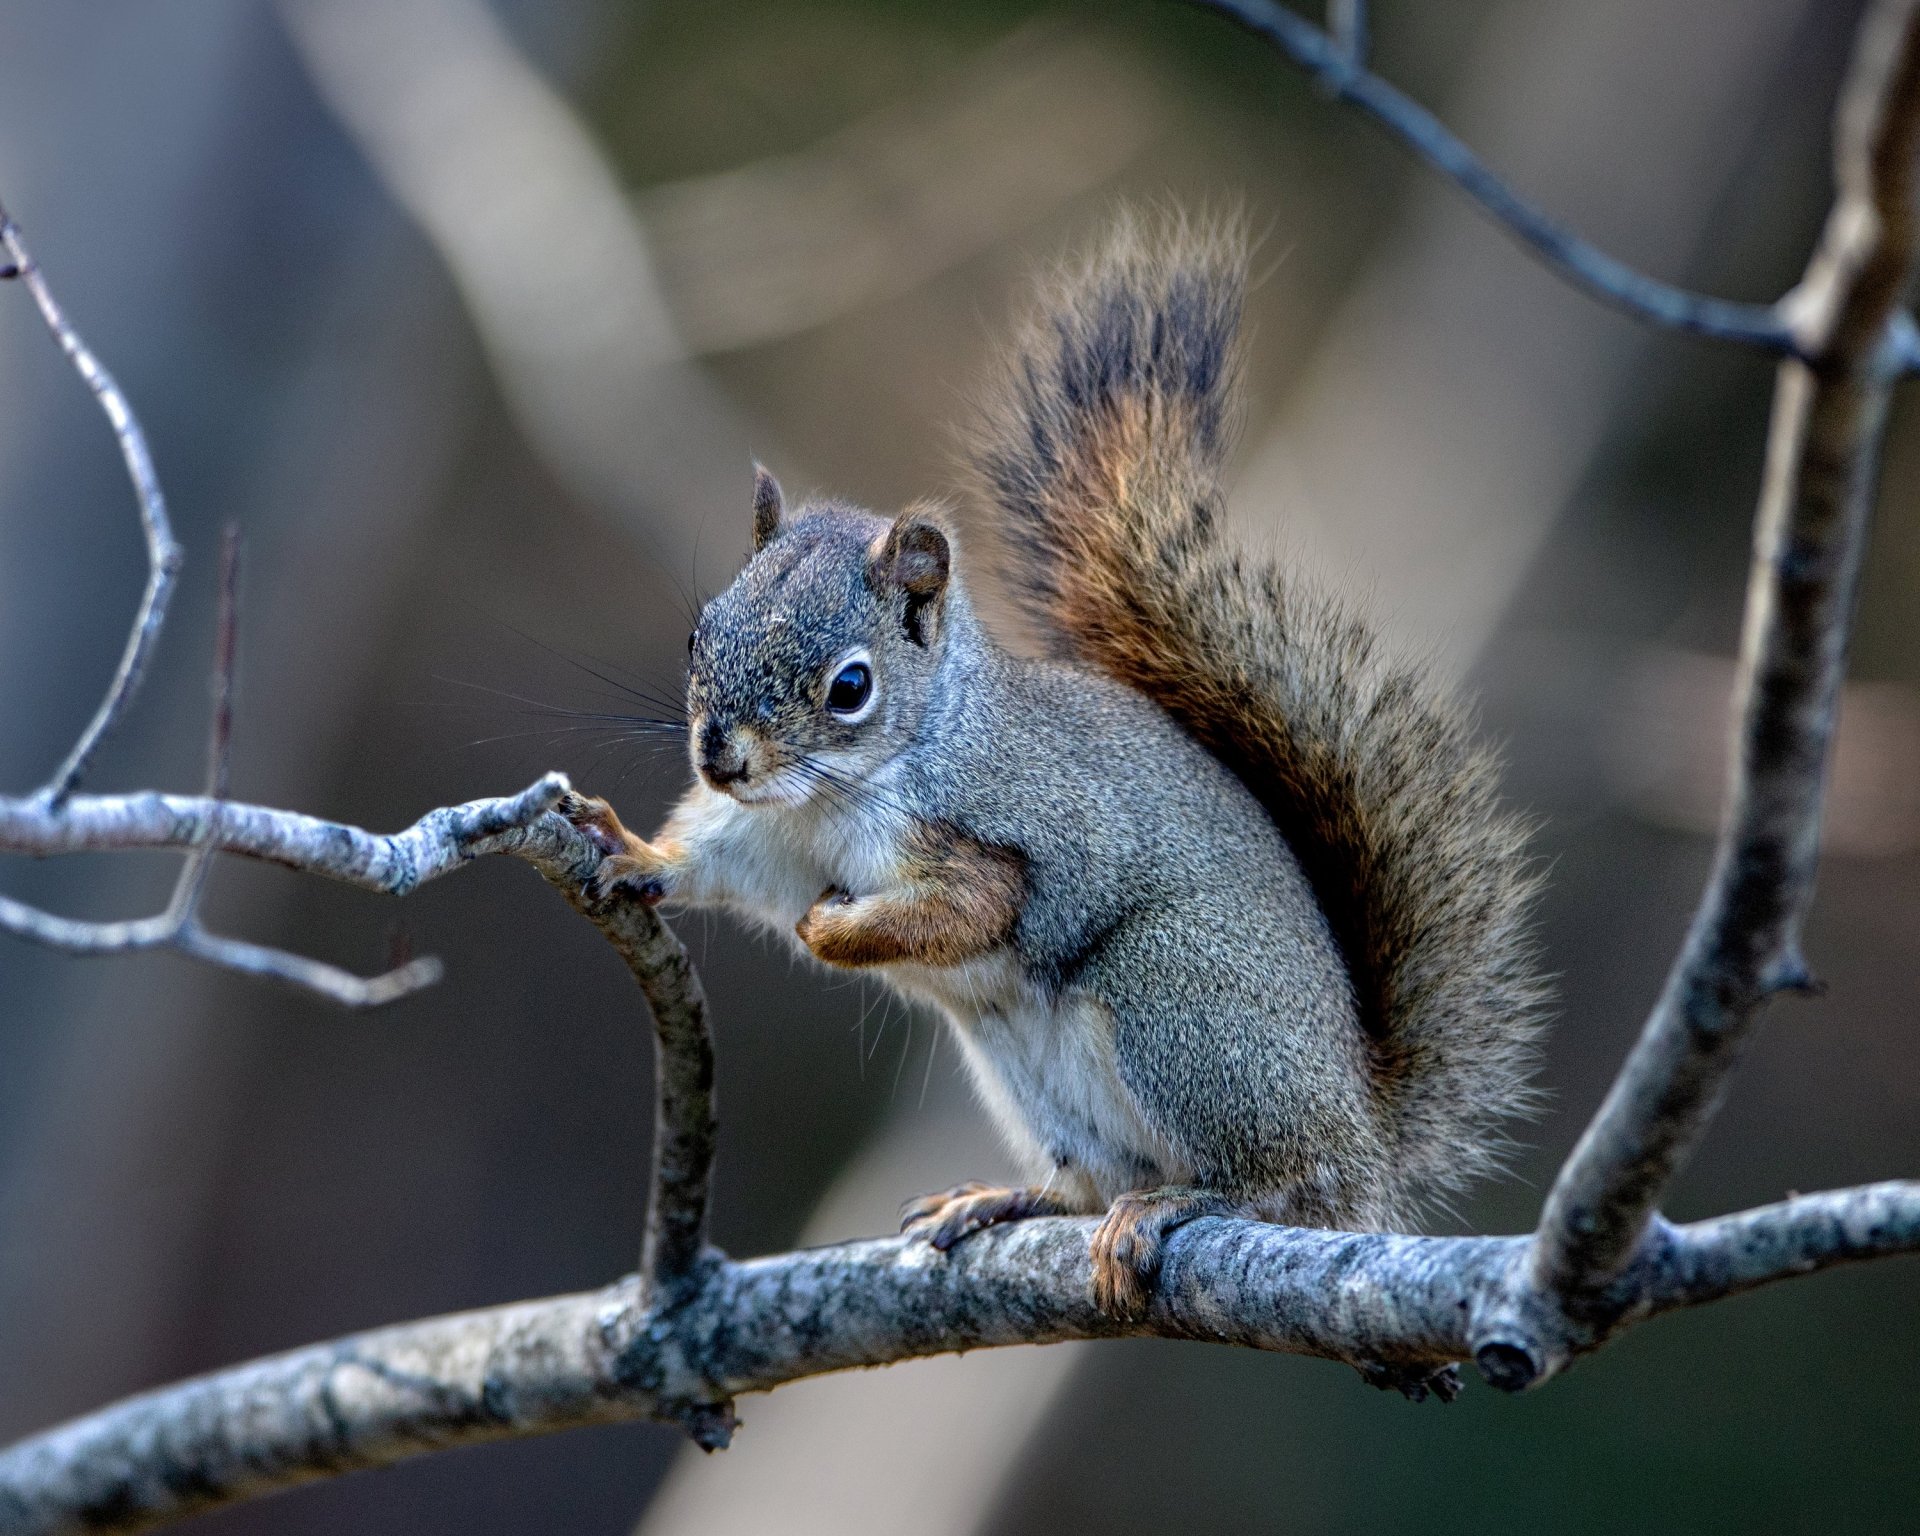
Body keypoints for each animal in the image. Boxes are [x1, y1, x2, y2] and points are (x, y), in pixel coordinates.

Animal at [563, 211, 1546, 1319]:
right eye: (701, 635)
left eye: (851, 687)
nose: (721, 757)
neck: (828, 797)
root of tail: (1365, 1142)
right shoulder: (758, 837)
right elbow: (711, 865)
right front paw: (630, 850)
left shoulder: (993, 833)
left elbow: (966, 909)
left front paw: (832, 931)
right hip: (1032, 1084)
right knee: (1088, 1178)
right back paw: (1011, 1198)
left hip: (1178, 1003)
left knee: (1278, 1181)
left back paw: (1179, 1204)